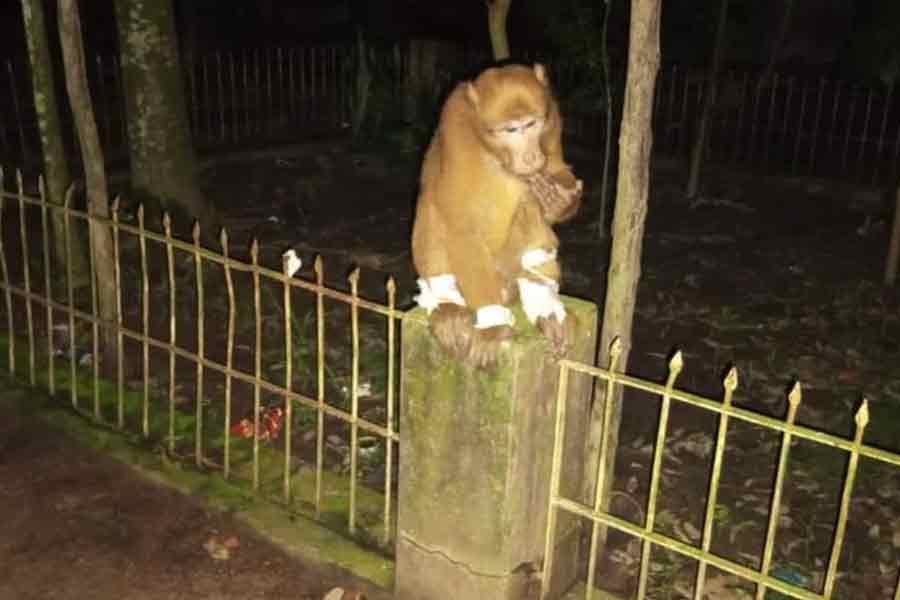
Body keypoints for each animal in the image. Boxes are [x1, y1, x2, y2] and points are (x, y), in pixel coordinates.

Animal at [411, 63, 582, 369]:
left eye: (532, 124)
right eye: (511, 130)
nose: (531, 157)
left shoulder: (552, 118)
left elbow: (555, 170)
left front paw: (560, 202)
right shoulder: (456, 126)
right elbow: (460, 221)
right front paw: (492, 324)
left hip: (509, 266)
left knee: (528, 198)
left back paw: (542, 298)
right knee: (430, 205)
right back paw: (447, 303)